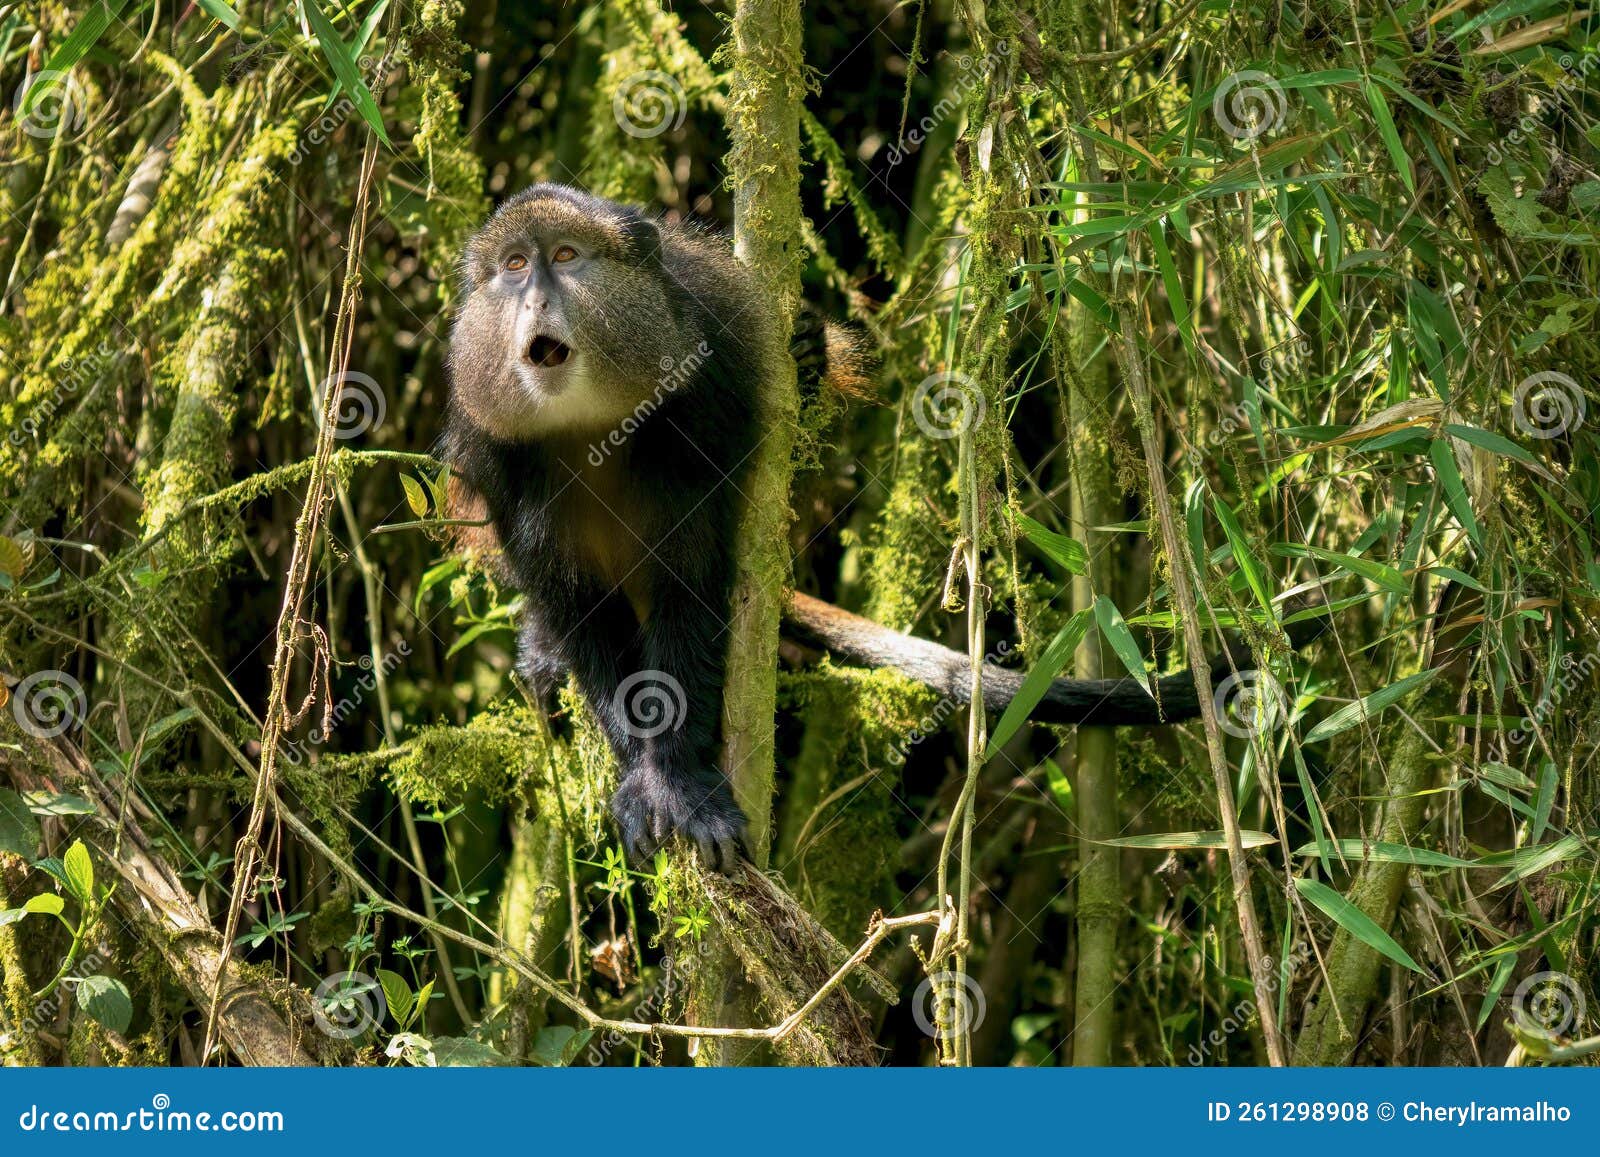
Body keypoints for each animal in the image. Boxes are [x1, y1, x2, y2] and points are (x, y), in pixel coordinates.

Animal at [443, 183, 1330, 871]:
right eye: (513, 267)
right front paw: (641, 776)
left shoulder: (704, 397)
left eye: (566, 256)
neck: (592, 421)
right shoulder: (495, 457)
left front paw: (678, 782)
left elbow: (692, 585)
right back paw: (542, 655)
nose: (534, 298)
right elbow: (574, 605)